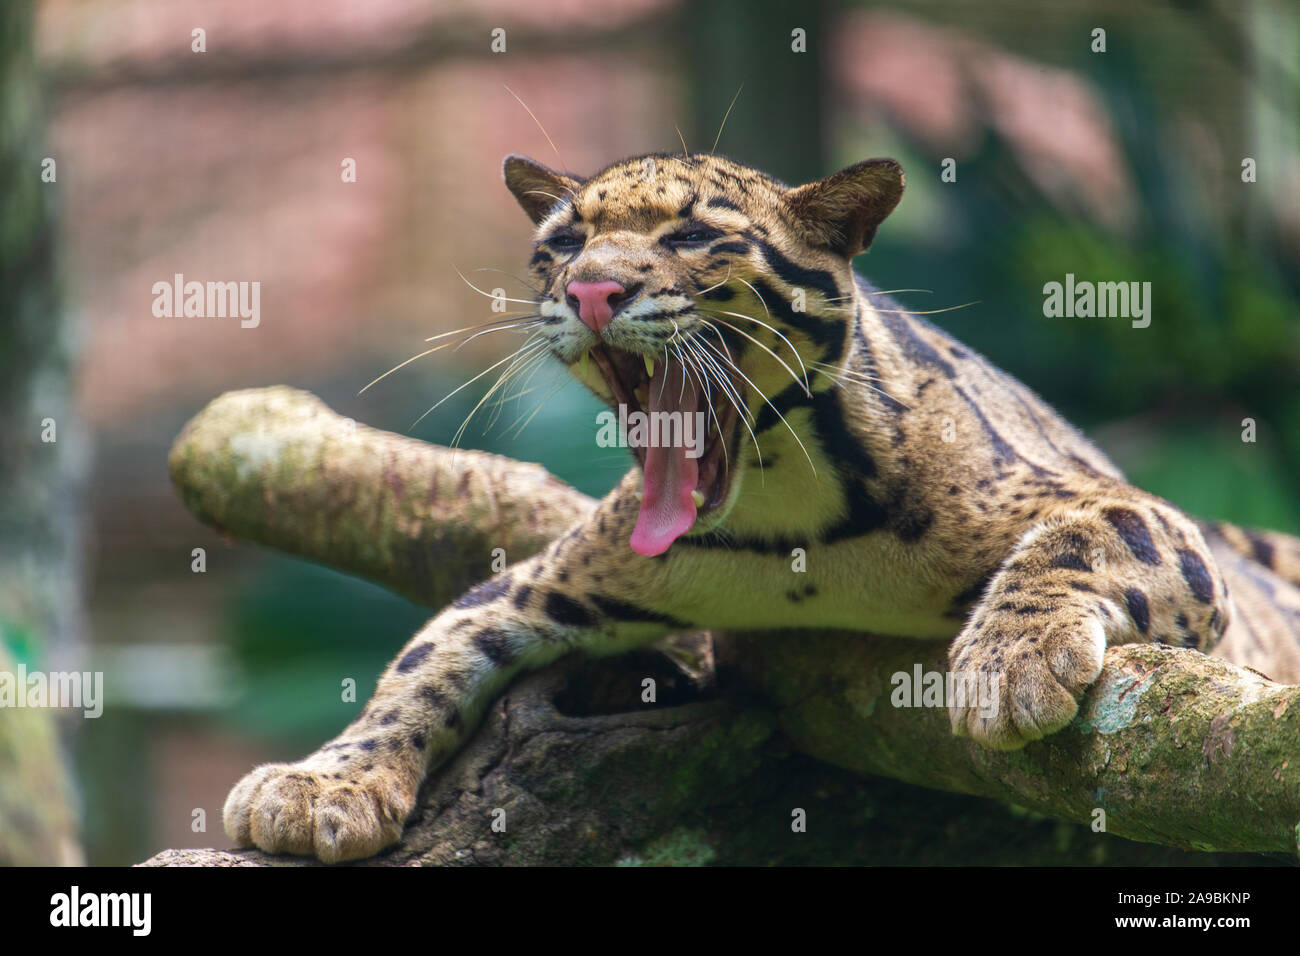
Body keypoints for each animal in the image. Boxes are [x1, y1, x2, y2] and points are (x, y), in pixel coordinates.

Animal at [223, 150, 1300, 862]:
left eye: (693, 236)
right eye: (562, 242)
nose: (591, 290)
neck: (789, 507)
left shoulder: (1143, 519)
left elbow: (1085, 532)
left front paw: (1010, 659)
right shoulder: (547, 583)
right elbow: (424, 661)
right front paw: (323, 781)